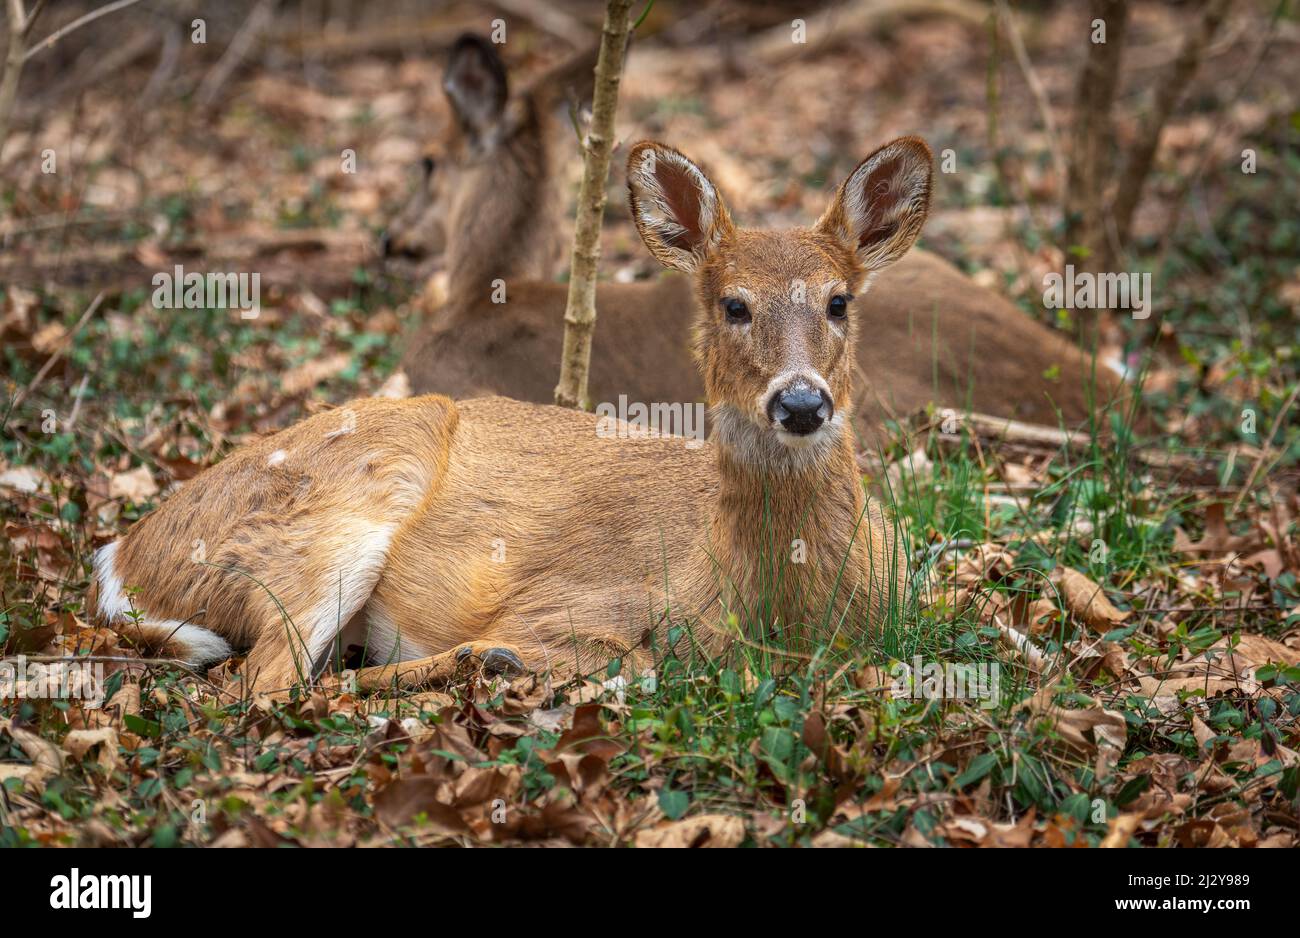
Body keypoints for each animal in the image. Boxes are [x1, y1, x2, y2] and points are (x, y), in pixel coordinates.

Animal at [88, 136, 934, 698]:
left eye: (839, 301)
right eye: (732, 305)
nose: (801, 402)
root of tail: (122, 556)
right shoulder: (564, 600)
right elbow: (638, 660)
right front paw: (503, 656)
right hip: (336, 506)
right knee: (265, 684)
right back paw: (473, 663)